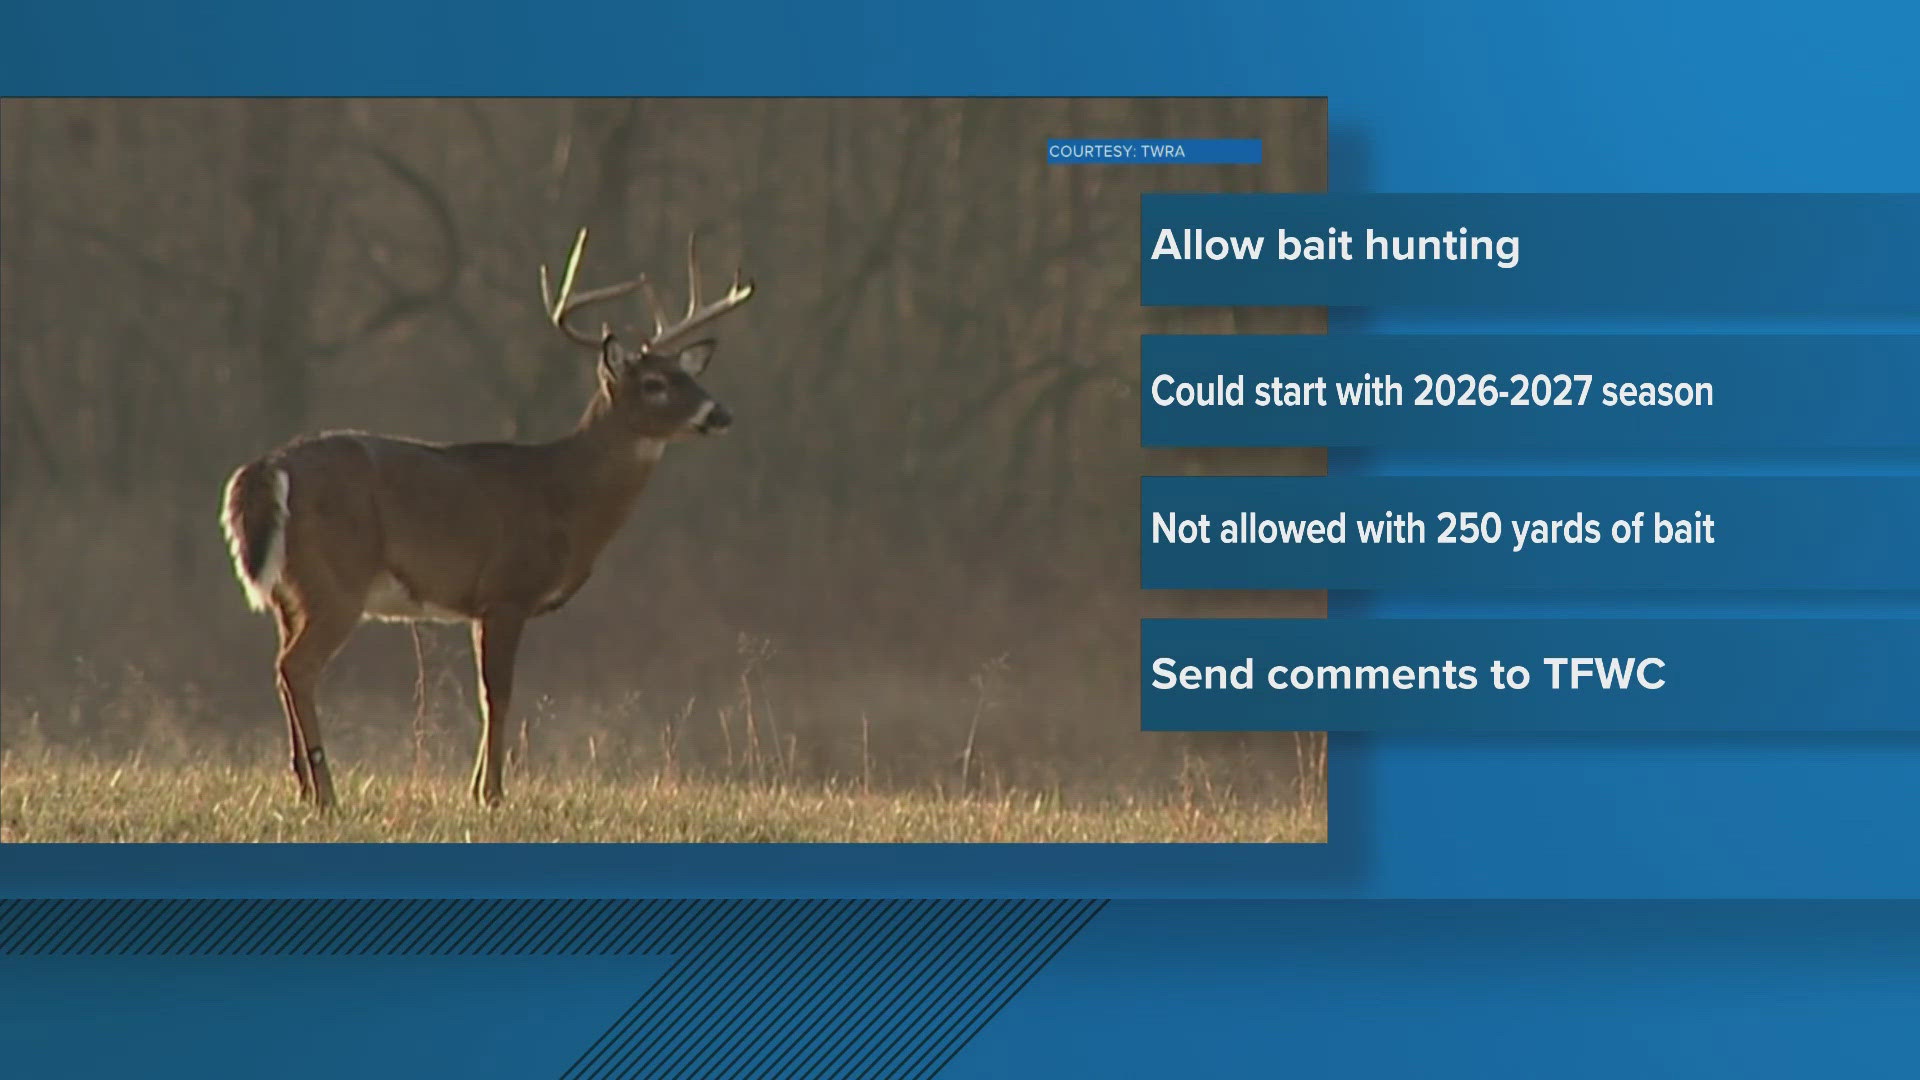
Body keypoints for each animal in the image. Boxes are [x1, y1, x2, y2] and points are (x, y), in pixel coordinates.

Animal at [219, 227, 754, 809]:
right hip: (336, 581)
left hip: (288, 592)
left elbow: (485, 694)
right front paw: (491, 793)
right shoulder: (506, 591)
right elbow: (498, 693)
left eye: (687, 374)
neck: (564, 495)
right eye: (655, 383)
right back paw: (326, 793)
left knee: (283, 668)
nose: (720, 413)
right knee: (297, 667)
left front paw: (481, 787)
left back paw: (303, 786)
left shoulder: (480, 607)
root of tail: (267, 467)